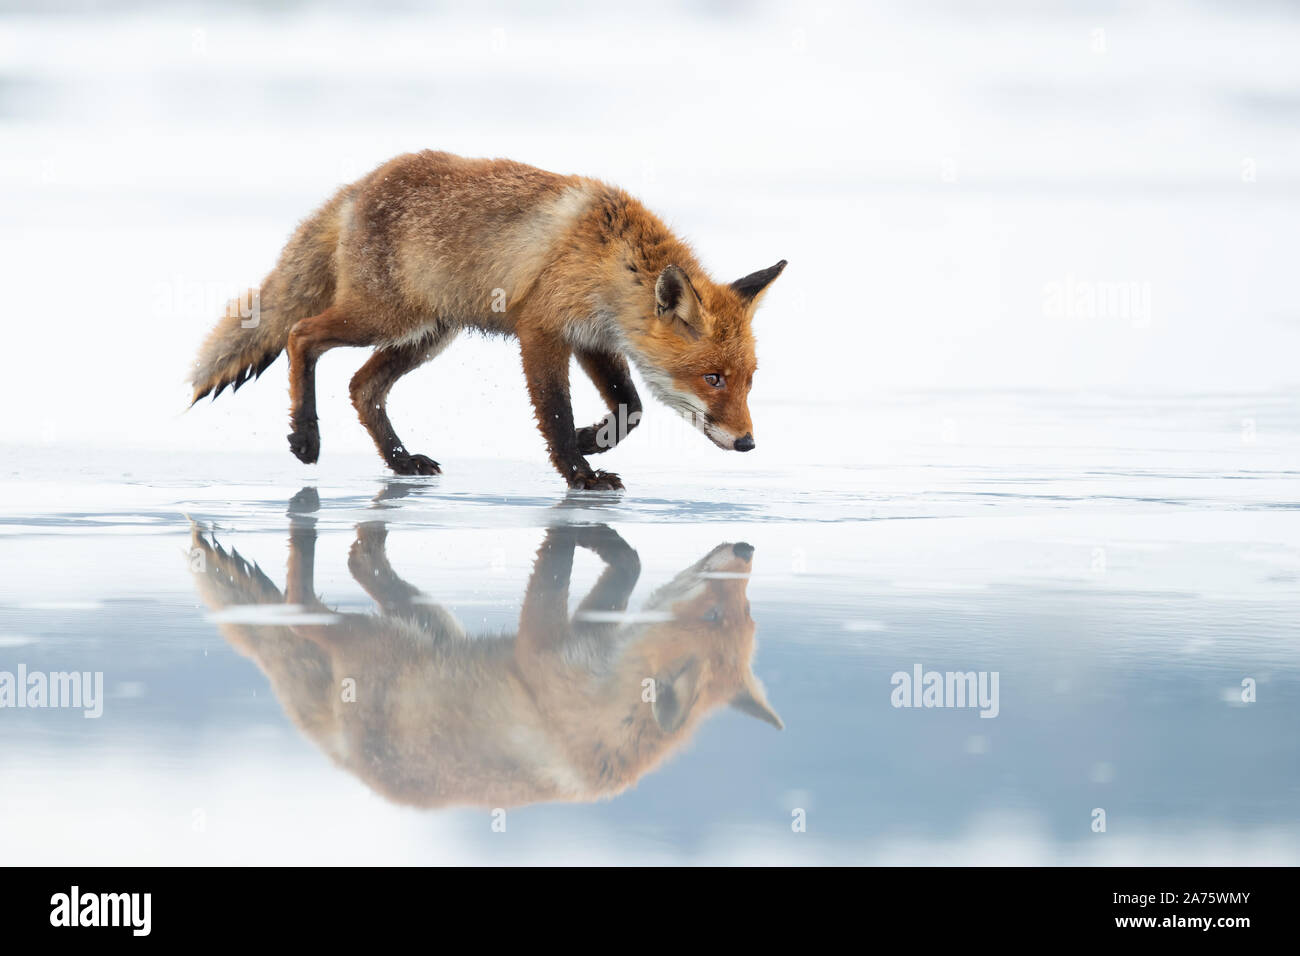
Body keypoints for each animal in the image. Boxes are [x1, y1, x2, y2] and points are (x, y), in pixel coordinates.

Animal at [186, 507, 781, 809]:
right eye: (716, 615)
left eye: (746, 612)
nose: (747, 549)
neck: (607, 713)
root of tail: (350, 763)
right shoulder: (543, 647)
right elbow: (620, 566)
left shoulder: (554, 645)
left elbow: (623, 570)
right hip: (391, 634)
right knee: (316, 595)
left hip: (414, 628)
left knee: (338, 580)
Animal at [189, 150, 786, 490]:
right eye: (712, 378)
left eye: (749, 381)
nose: (748, 444)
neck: (611, 259)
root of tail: (361, 184)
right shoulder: (542, 331)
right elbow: (556, 413)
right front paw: (580, 472)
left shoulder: (594, 339)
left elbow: (630, 409)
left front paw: (594, 439)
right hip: (383, 318)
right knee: (300, 336)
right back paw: (306, 436)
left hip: (428, 334)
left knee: (362, 387)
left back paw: (401, 463)